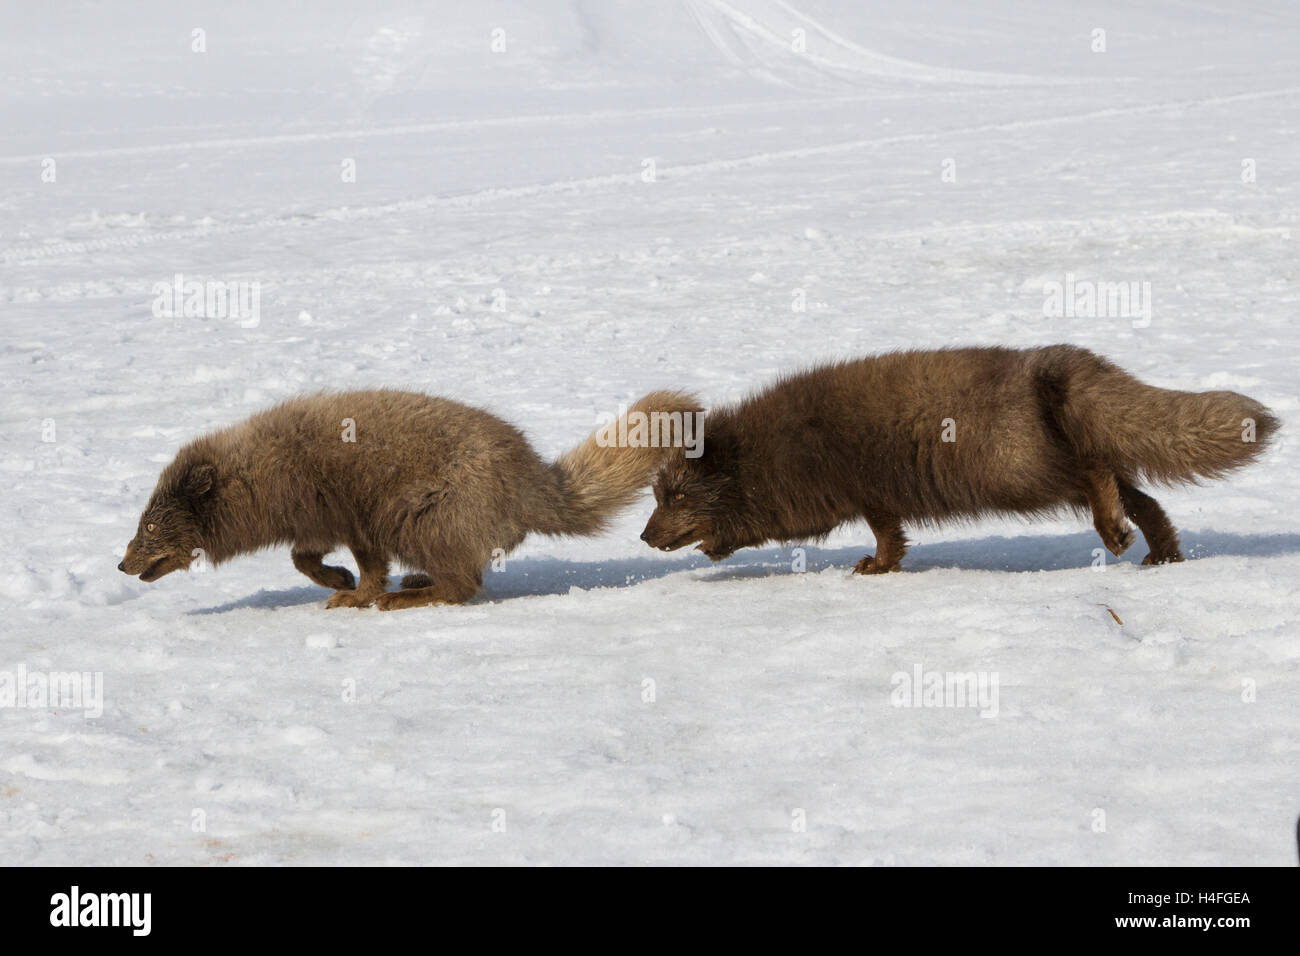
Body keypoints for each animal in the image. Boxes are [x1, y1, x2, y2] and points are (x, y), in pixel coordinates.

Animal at [119, 389, 700, 610]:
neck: (260, 475)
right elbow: (303, 558)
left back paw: (407, 596)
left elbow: (363, 565)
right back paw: (416, 582)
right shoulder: (316, 524)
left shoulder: (355, 517)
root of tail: (533, 475)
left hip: (416, 517)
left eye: (150, 526)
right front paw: (339, 580)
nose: (121, 564)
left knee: (464, 587)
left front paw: (354, 593)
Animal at [640, 345, 1278, 572]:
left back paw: (1116, 534)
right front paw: (884, 565)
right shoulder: (875, 497)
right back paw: (1162, 555)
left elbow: (882, 536)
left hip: (1017, 473)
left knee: (1097, 476)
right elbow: (891, 535)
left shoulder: (849, 492)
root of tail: (1050, 363)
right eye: (657, 497)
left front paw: (876, 567)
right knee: (1141, 498)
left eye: (677, 496)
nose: (644, 537)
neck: (763, 453)